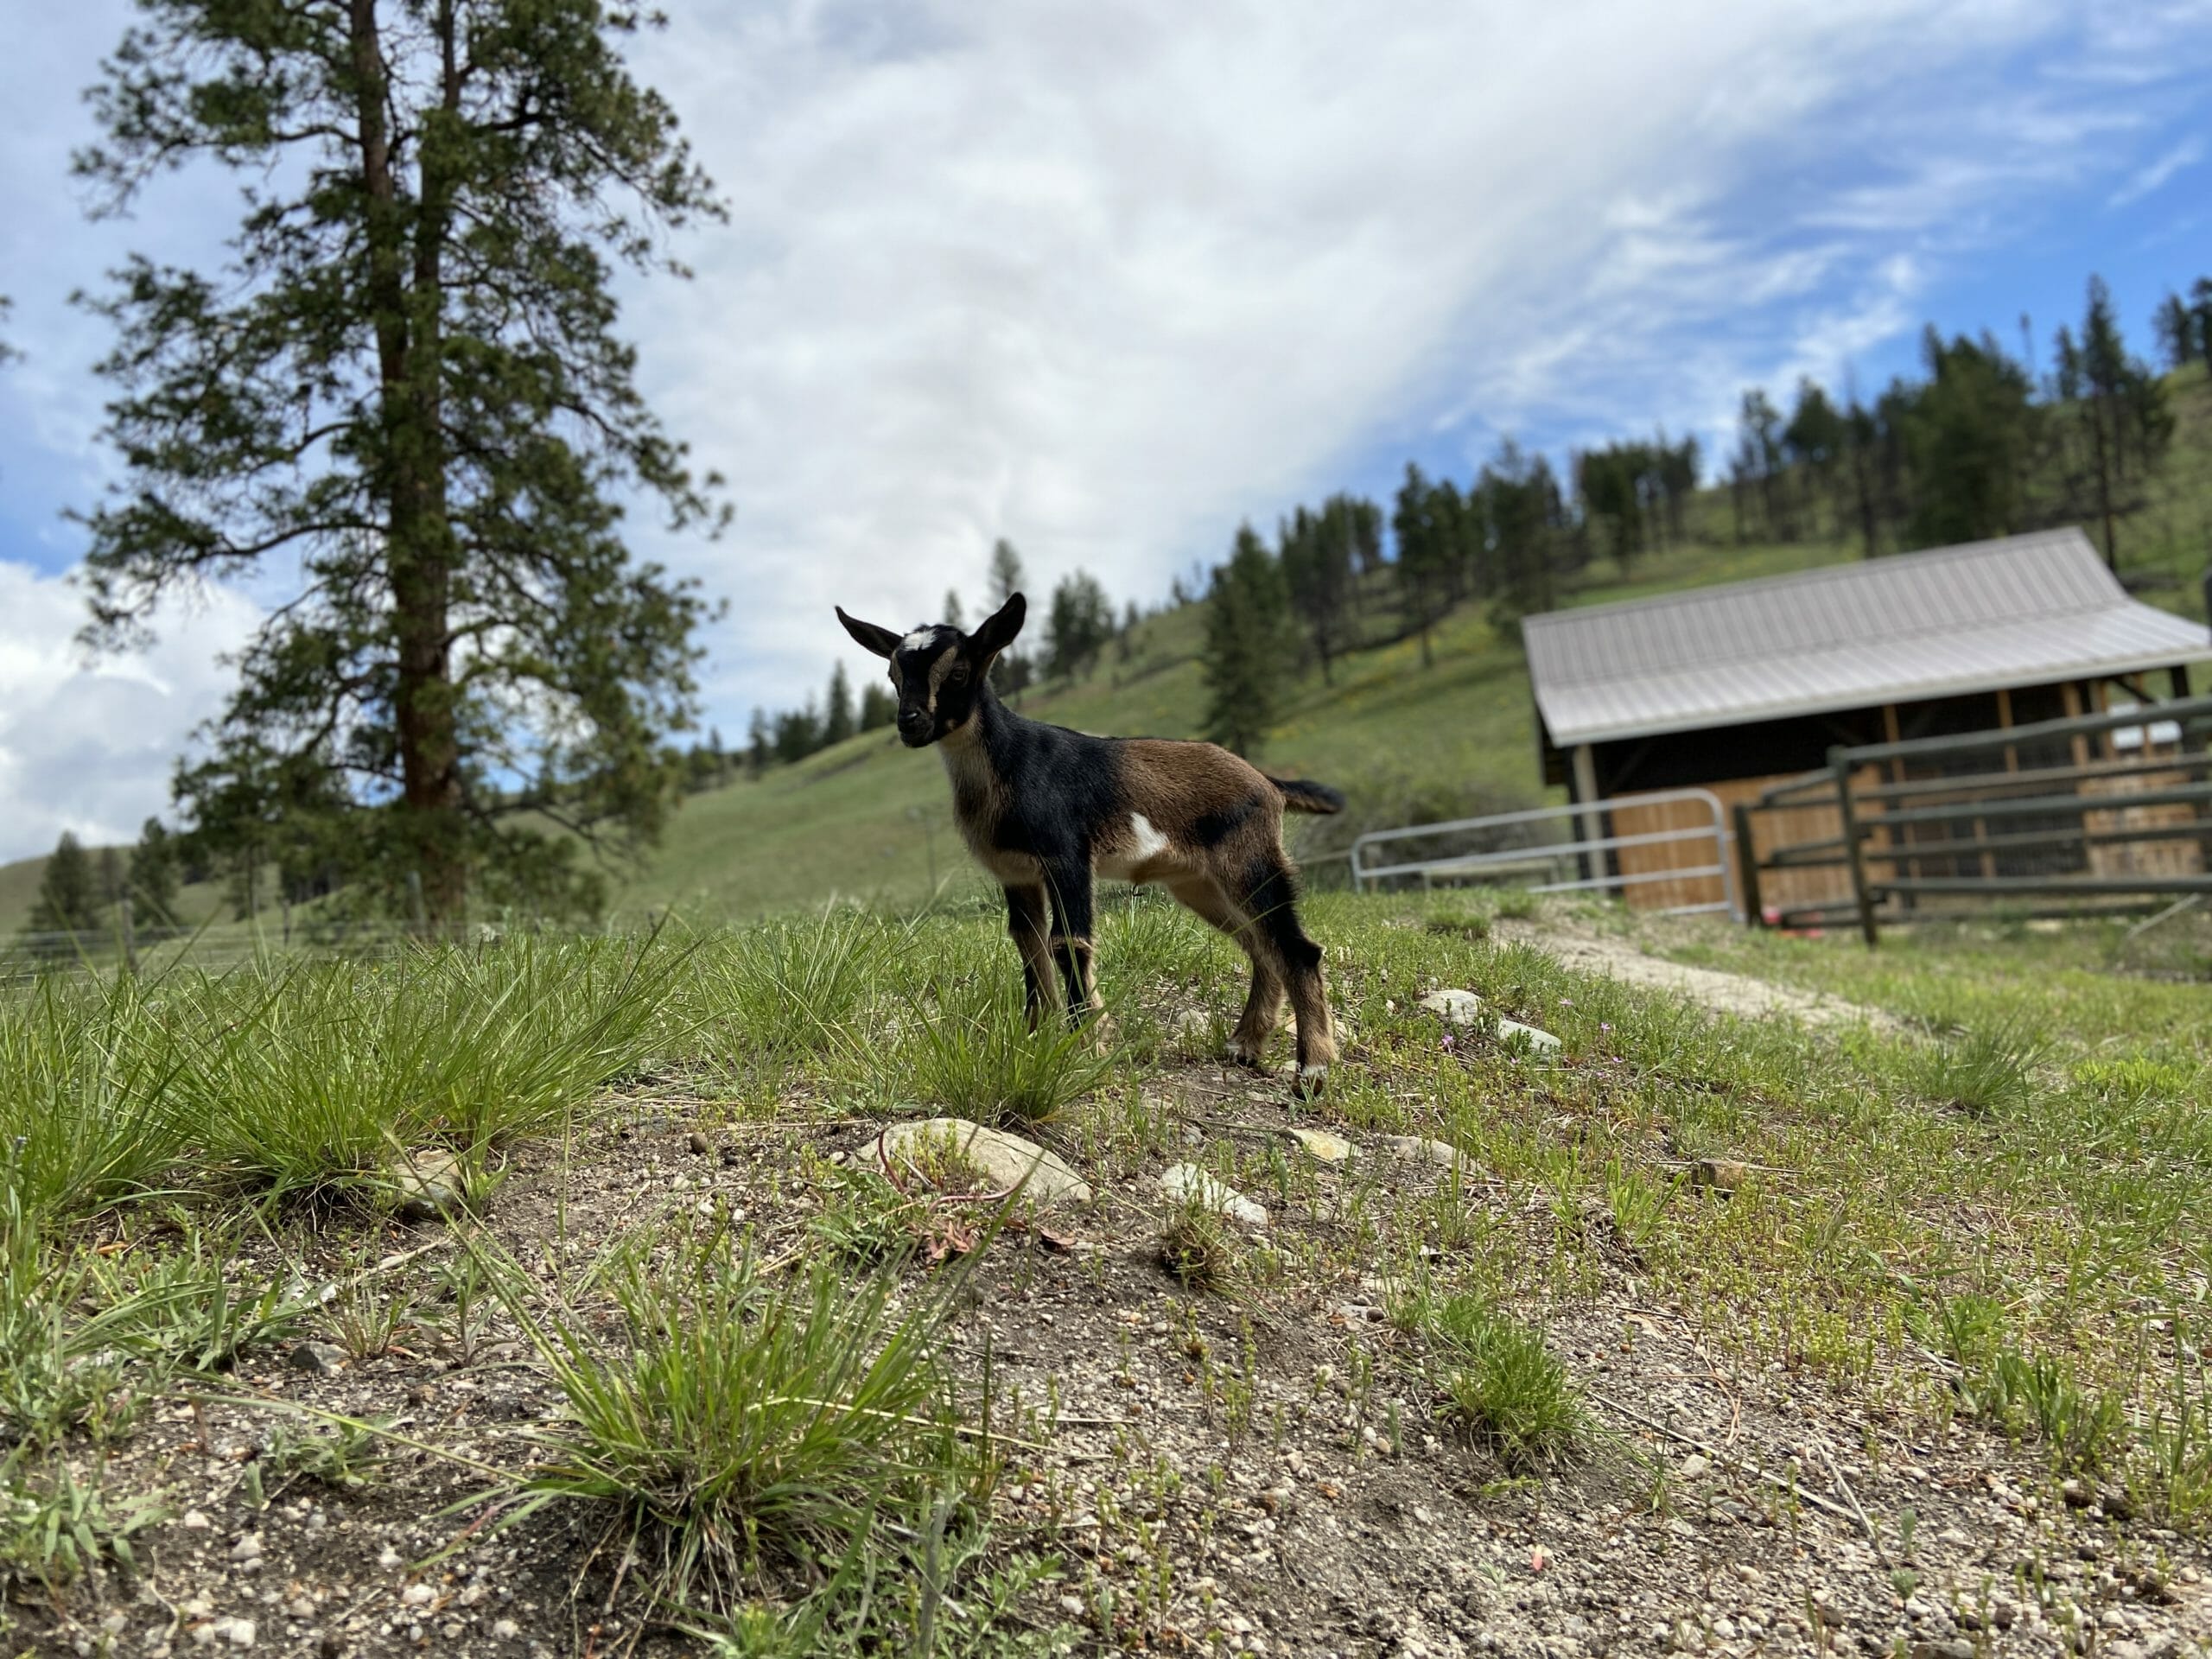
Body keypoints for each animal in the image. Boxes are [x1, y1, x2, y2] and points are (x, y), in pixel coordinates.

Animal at [836, 591, 1344, 1086]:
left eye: (959, 672)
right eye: (892, 674)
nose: (910, 722)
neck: (1011, 762)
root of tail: (1269, 784)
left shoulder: (1067, 856)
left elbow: (1068, 943)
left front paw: (1084, 1045)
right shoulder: (1016, 872)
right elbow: (1028, 942)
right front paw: (1035, 1036)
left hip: (1250, 860)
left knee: (1296, 948)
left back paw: (1313, 1069)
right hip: (1199, 882)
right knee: (1259, 944)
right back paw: (1245, 1045)